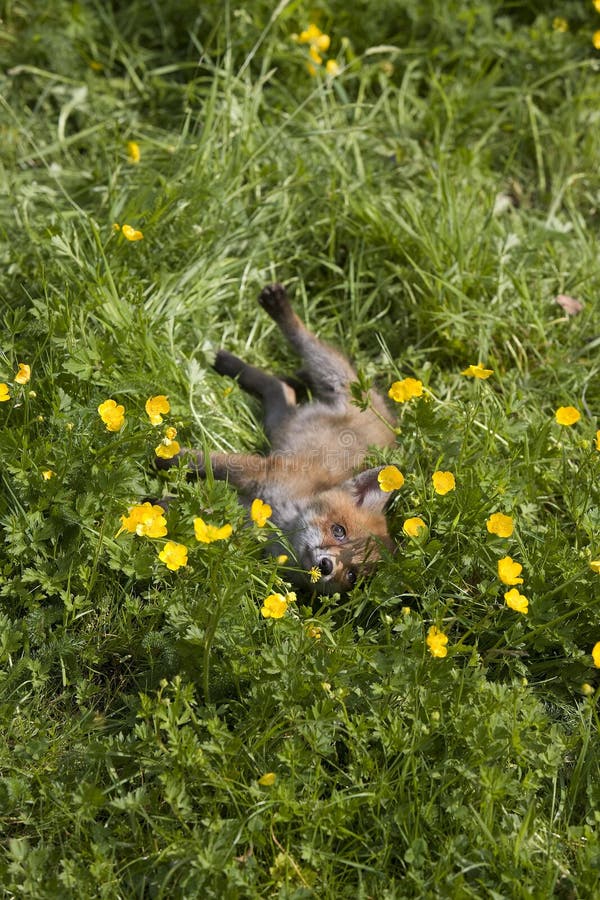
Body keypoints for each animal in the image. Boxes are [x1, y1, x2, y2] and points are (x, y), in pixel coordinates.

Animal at [158, 283, 398, 593]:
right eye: (339, 531)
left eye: (351, 575)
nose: (326, 566)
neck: (282, 520)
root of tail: (389, 418)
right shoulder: (262, 472)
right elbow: (200, 460)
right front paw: (158, 456)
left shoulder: (246, 513)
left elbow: (201, 512)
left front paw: (157, 508)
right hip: (331, 375)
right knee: (299, 351)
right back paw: (271, 314)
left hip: (278, 422)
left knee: (280, 386)